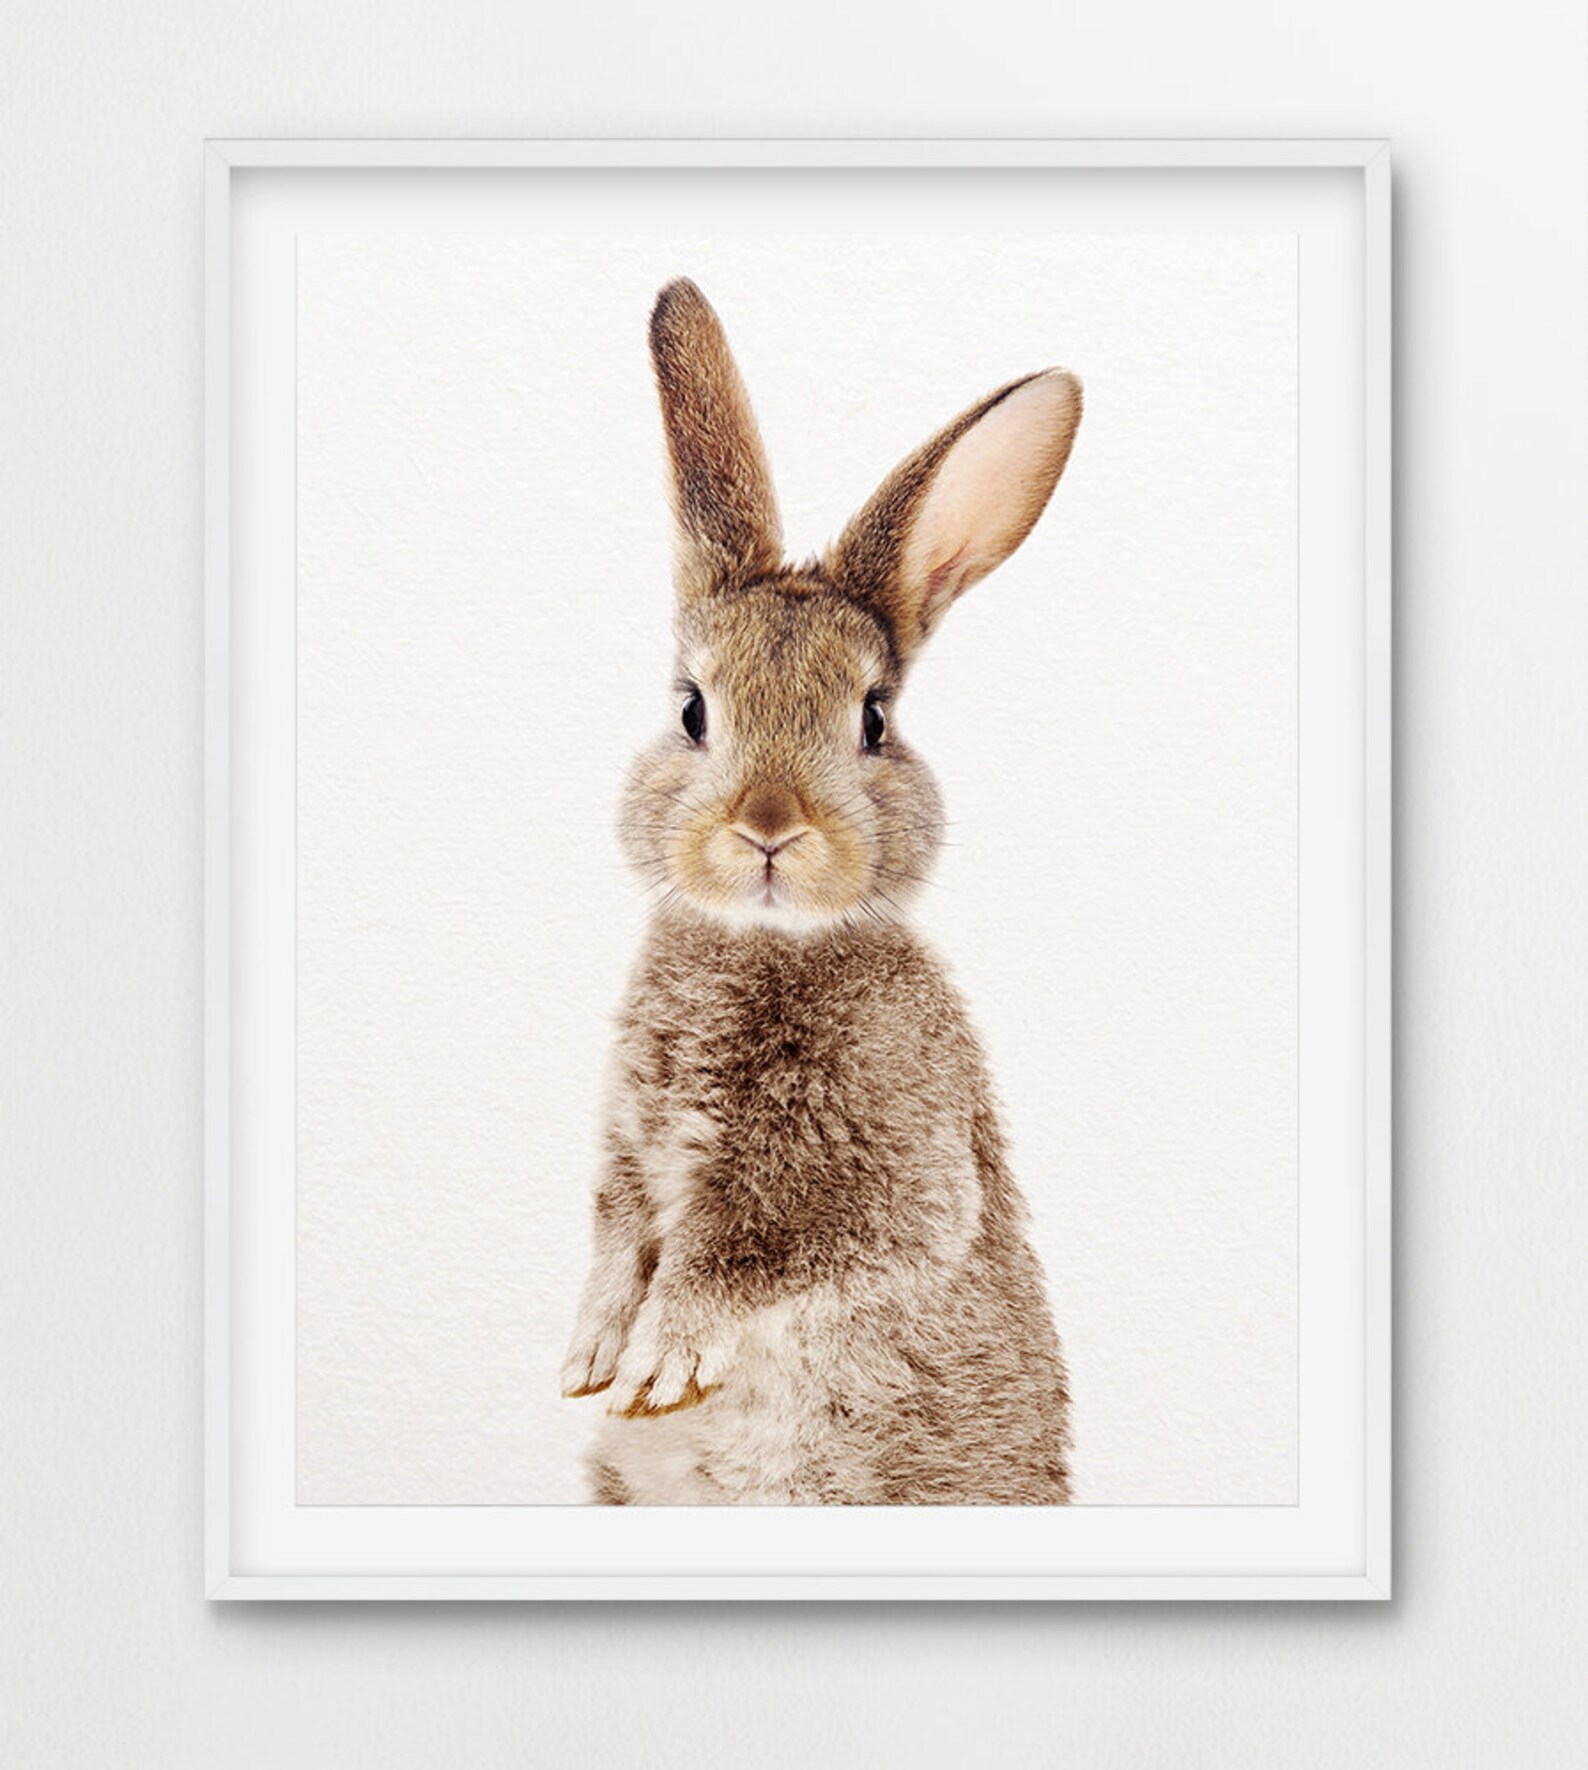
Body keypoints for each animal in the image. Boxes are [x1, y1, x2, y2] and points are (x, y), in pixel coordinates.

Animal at [560, 278, 1083, 1504]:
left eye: (874, 720)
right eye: (692, 710)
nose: (766, 828)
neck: (755, 944)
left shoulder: (879, 1176)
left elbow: (747, 1255)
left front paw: (659, 1360)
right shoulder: (625, 1155)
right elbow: (617, 1236)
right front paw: (594, 1352)